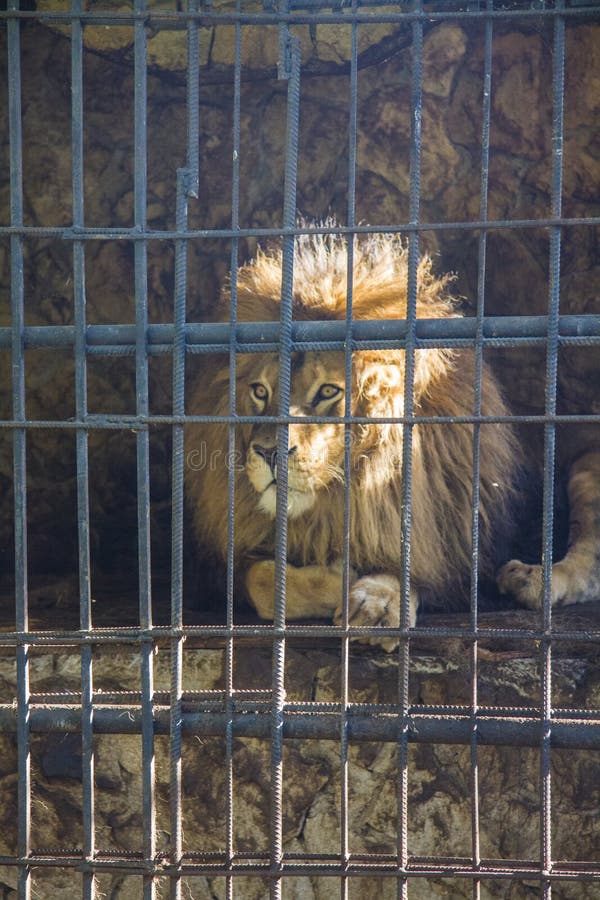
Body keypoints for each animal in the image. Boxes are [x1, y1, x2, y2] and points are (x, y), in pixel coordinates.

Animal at [186, 230, 529, 648]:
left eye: (327, 392)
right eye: (260, 392)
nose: (267, 452)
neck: (331, 507)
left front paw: (379, 602)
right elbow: (264, 579)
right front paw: (340, 579)